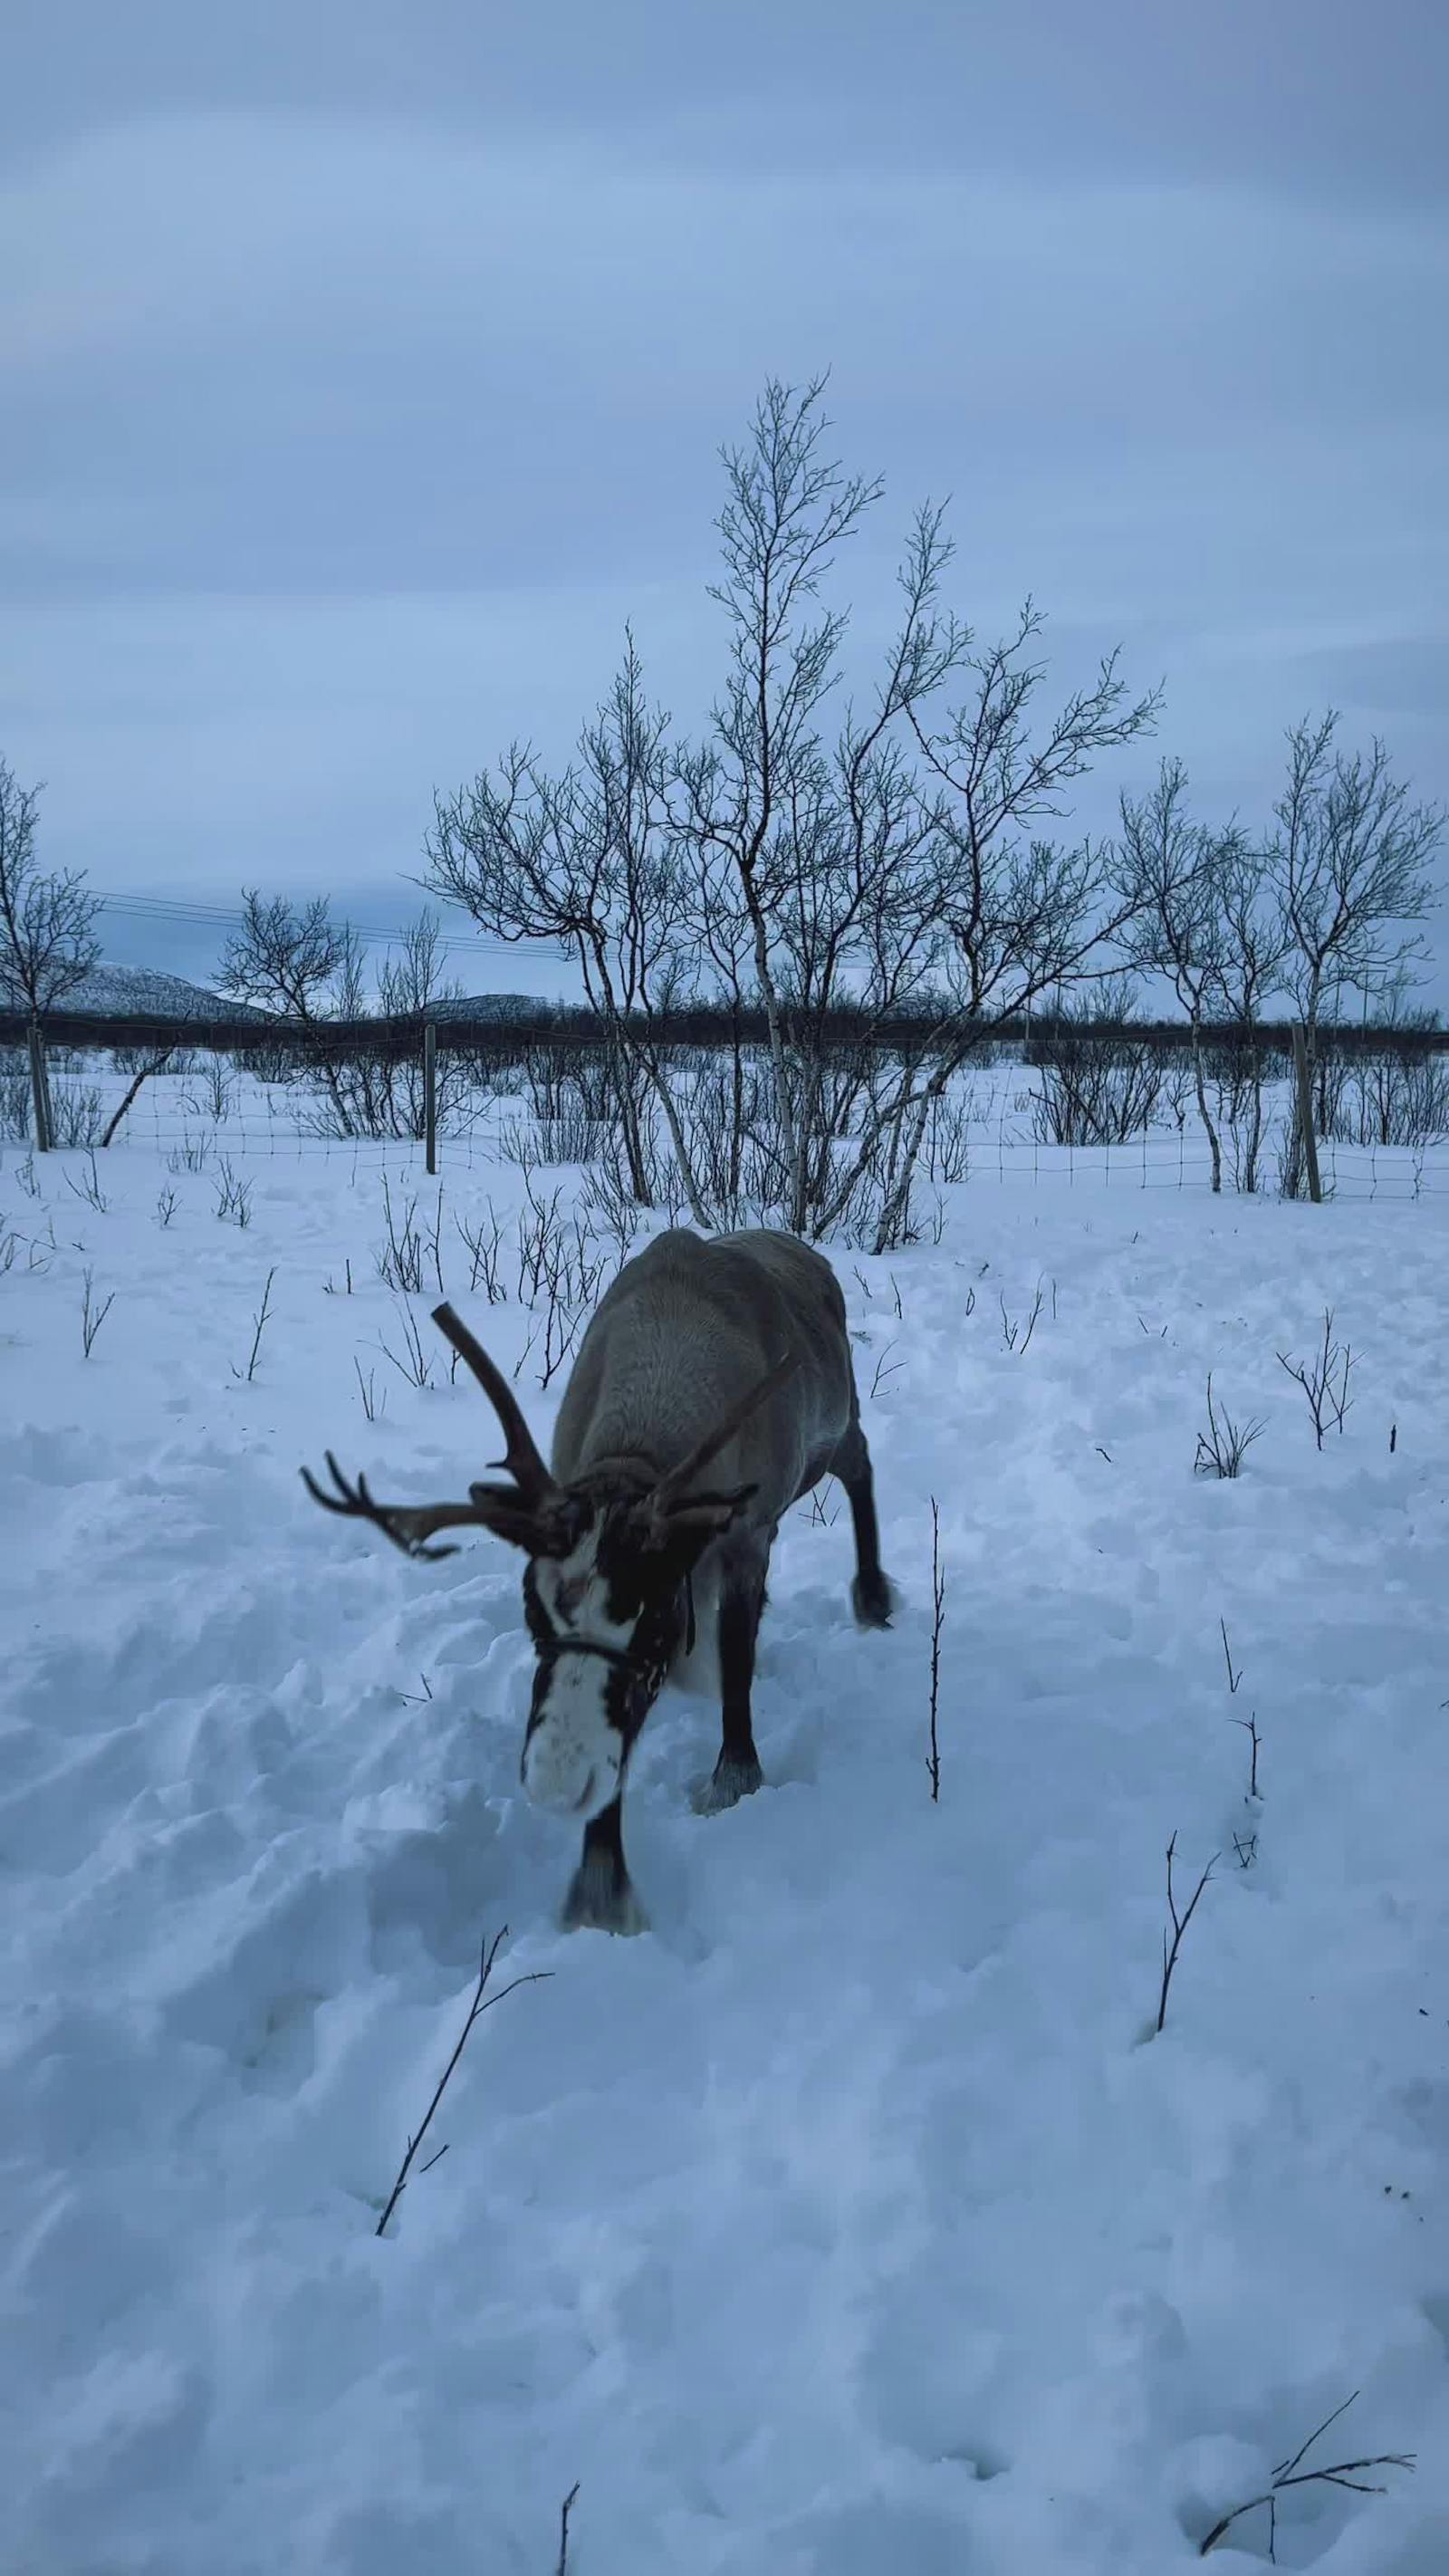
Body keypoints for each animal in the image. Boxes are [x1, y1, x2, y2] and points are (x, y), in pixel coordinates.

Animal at [302, 1226, 895, 1932]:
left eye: (654, 1623)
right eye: (532, 1613)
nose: (556, 1782)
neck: (638, 1449)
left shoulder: (746, 1538)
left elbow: (734, 1661)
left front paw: (732, 1777)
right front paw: (601, 1887)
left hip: (836, 1427)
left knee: (861, 1465)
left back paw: (873, 1596)